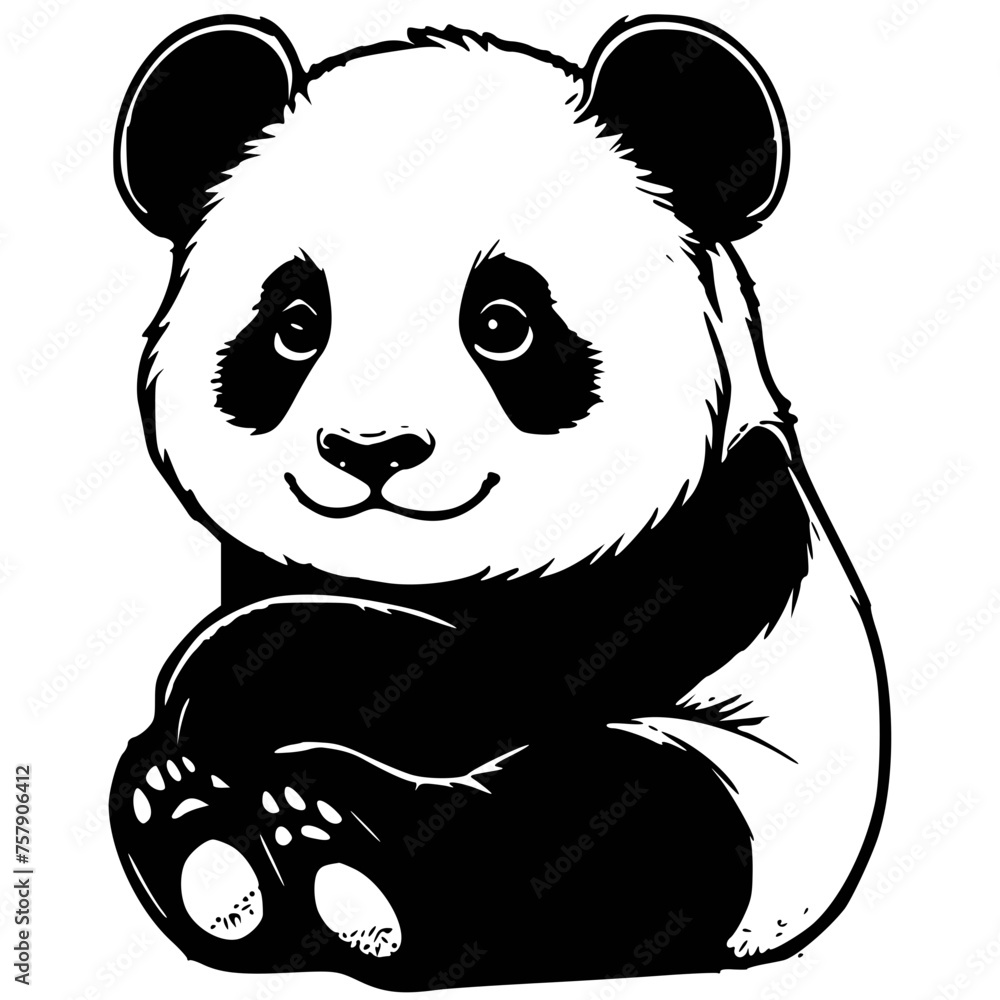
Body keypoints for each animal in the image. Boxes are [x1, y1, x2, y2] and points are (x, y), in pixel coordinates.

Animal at [109, 13, 888, 990]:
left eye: (503, 324)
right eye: (294, 325)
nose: (373, 450)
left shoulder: (718, 528)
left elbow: (509, 668)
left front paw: (218, 687)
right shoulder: (262, 561)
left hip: (744, 798)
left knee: (608, 821)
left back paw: (333, 850)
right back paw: (196, 830)